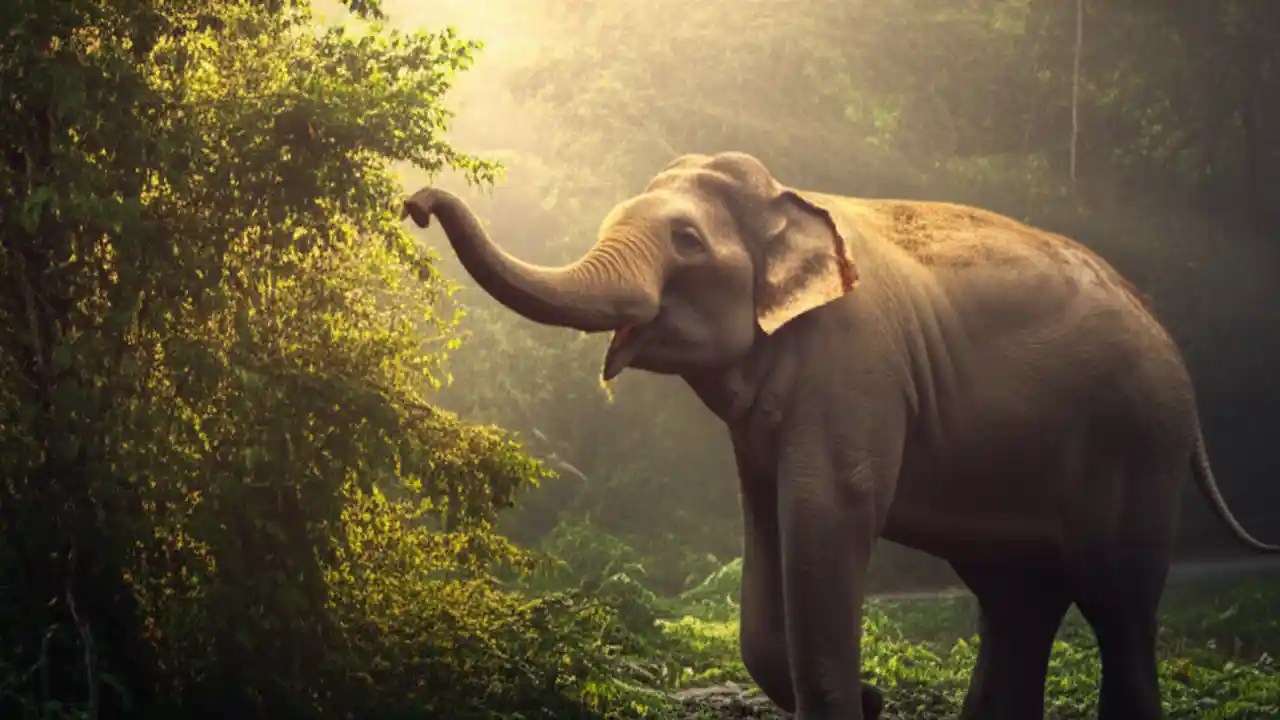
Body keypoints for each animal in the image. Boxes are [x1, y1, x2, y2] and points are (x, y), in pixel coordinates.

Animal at [401, 151, 1279, 720]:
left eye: (686, 242)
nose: (415, 203)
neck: (789, 199)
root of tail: (1170, 343)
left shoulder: (855, 368)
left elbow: (827, 511)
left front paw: (860, 698)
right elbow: (762, 530)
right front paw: (873, 696)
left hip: (1137, 442)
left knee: (1117, 601)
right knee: (1017, 602)